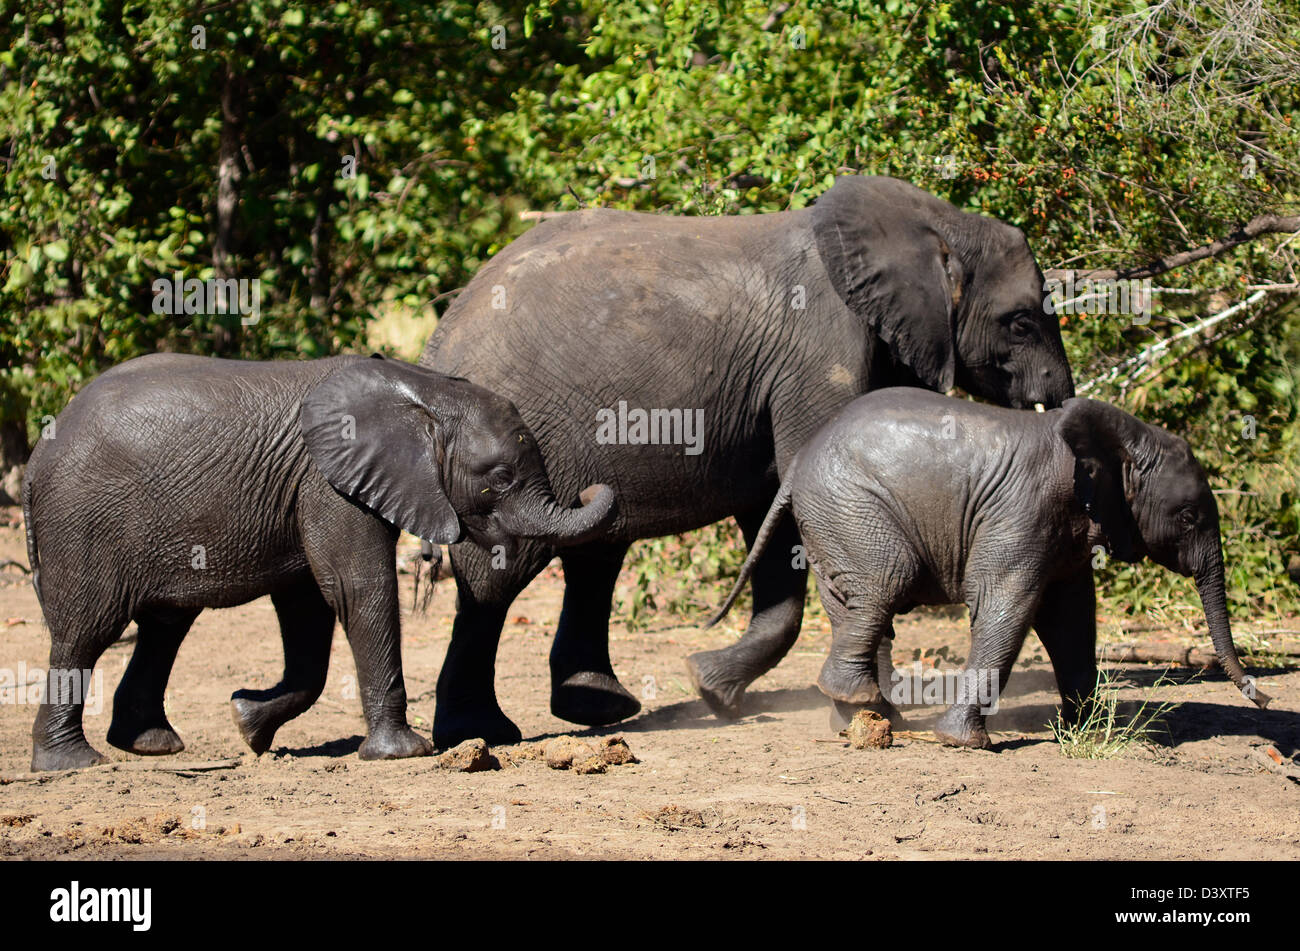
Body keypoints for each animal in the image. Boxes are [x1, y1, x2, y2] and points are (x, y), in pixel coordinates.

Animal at [23, 353, 616, 771]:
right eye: (500, 478)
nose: (591, 487)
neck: (424, 390)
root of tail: (34, 456)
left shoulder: (308, 490)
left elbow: (309, 610)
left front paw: (246, 721)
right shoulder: (327, 484)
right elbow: (356, 589)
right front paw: (403, 754)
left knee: (163, 627)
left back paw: (151, 746)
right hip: (81, 522)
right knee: (85, 632)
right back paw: (72, 763)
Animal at [420, 174, 1076, 748]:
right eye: (1020, 322)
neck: (932, 221)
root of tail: (440, 336)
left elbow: (775, 516)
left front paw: (713, 689)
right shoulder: (821, 355)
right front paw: (873, 716)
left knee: (594, 554)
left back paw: (600, 710)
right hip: (514, 445)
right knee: (500, 573)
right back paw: (482, 734)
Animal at [710, 388, 1269, 748]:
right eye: (1189, 516)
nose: (1262, 699)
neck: (1122, 435)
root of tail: (798, 465)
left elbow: (1071, 620)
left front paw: (1086, 730)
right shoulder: (1025, 508)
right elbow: (1008, 606)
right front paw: (963, 742)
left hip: (829, 519)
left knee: (850, 605)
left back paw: (863, 718)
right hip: (851, 506)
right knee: (884, 584)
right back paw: (861, 702)